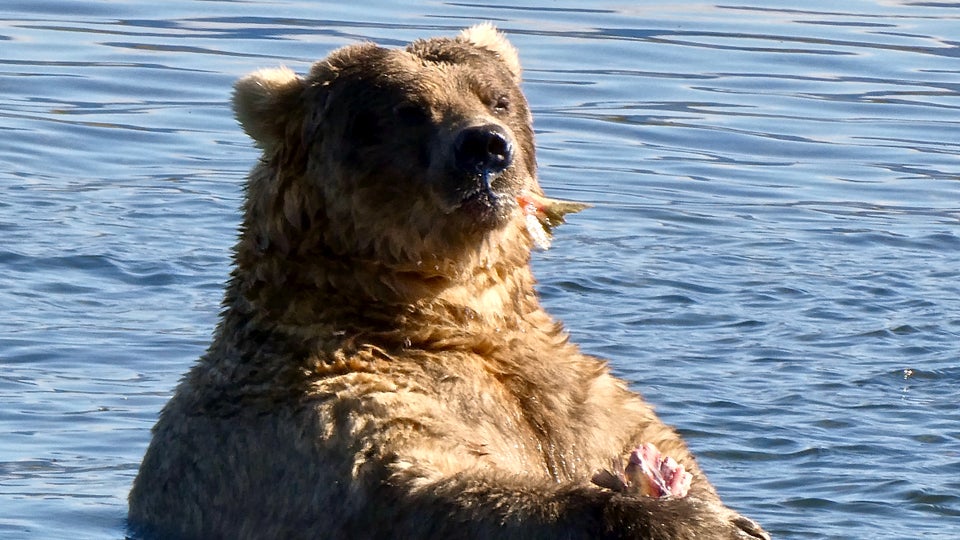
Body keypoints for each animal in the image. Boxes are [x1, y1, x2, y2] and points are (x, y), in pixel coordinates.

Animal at [127, 24, 768, 540]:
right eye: (409, 110)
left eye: (498, 99)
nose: (486, 146)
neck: (448, 317)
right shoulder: (324, 416)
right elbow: (434, 484)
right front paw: (681, 518)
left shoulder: (574, 395)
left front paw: (715, 509)